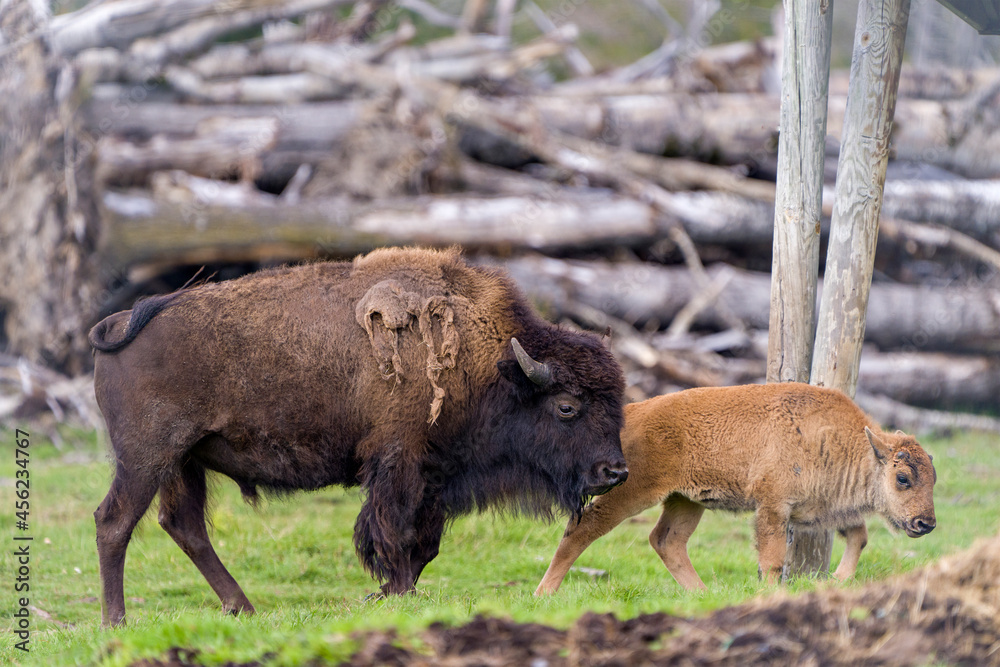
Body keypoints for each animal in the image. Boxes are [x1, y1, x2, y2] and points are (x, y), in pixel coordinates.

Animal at [90, 247, 627, 627]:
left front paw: (394, 592)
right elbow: (395, 535)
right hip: (147, 457)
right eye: (566, 407)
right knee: (114, 521)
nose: (615, 471)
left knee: (184, 526)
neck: (488, 362)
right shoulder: (399, 462)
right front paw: (396, 594)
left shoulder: (433, 475)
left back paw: (242, 608)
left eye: (618, 403)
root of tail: (124, 320)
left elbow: (424, 544)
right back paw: (116, 622)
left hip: (184, 462)